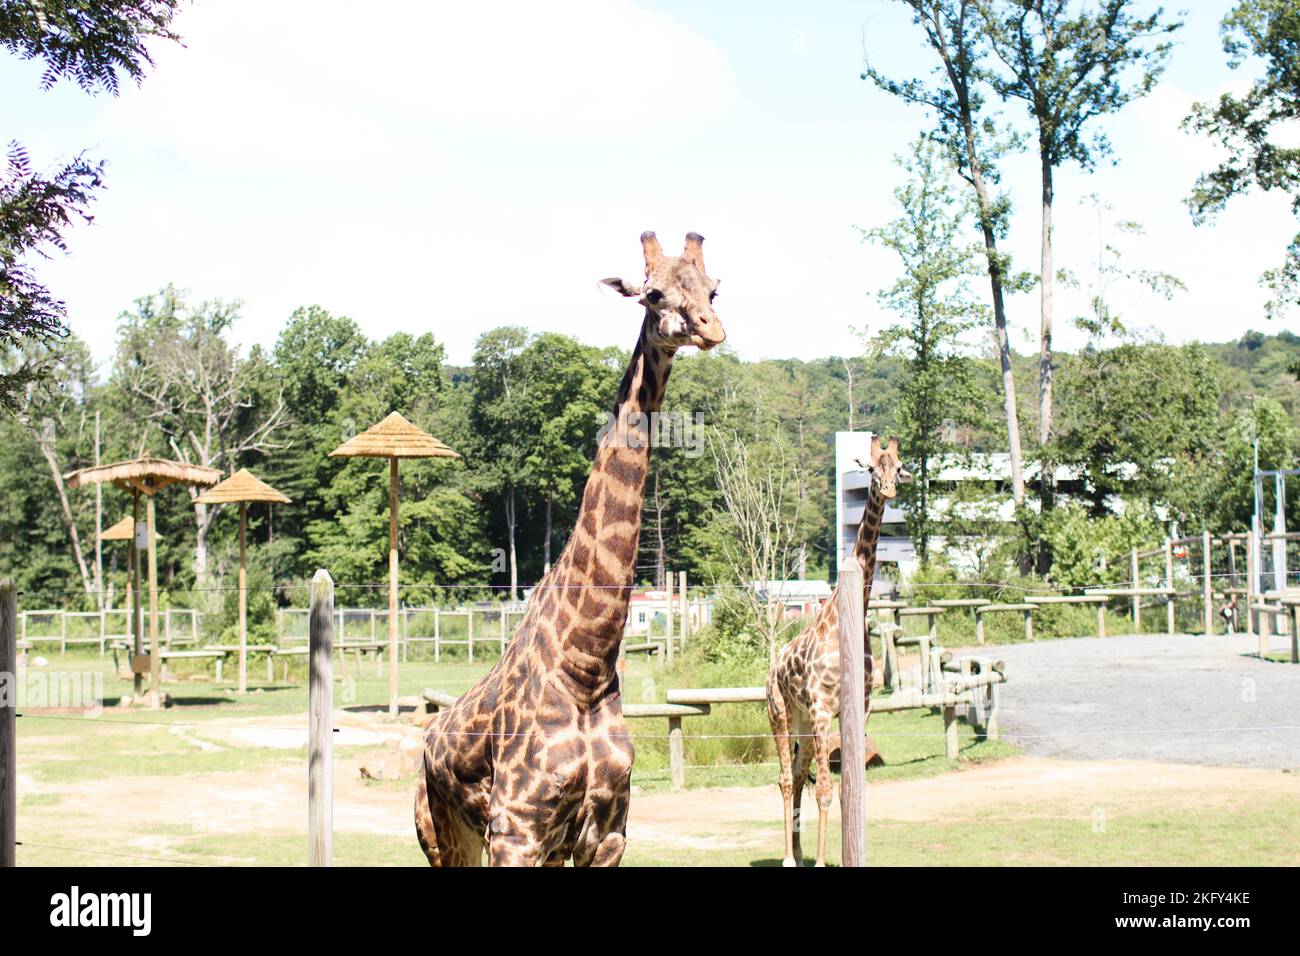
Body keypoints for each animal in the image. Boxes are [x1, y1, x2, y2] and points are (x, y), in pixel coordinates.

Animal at [415, 231, 726, 867]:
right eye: (653, 293)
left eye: (713, 289)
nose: (712, 329)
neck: (585, 667)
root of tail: (429, 739)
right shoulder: (517, 830)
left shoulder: (607, 833)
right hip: (444, 839)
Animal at [765, 435, 909, 867]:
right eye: (871, 469)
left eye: (898, 467)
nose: (888, 490)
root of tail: (772, 669)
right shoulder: (821, 707)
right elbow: (827, 791)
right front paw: (819, 860)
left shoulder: (857, 709)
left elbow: (847, 790)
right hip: (781, 712)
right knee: (784, 777)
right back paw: (789, 858)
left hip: (803, 722)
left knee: (797, 774)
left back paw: (797, 853)